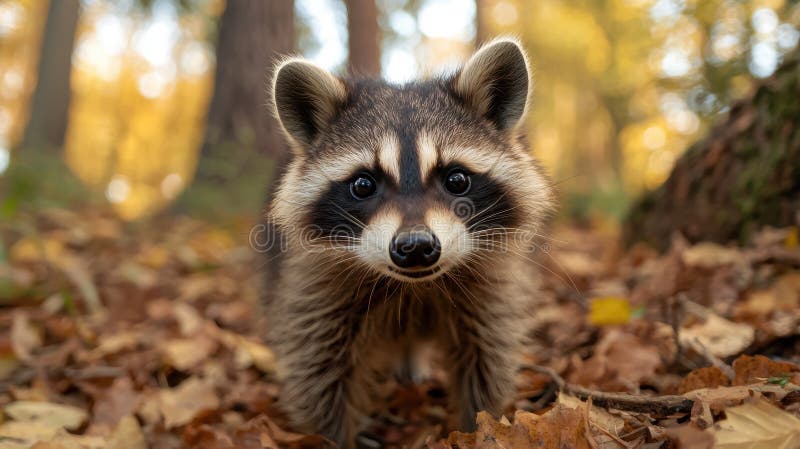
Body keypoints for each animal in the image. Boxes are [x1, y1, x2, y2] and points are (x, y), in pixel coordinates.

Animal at [263, 38, 555, 446]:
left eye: (457, 180)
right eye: (363, 184)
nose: (415, 246)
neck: (413, 287)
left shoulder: (488, 293)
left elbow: (486, 362)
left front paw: (477, 427)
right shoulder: (316, 292)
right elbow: (318, 373)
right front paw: (334, 438)